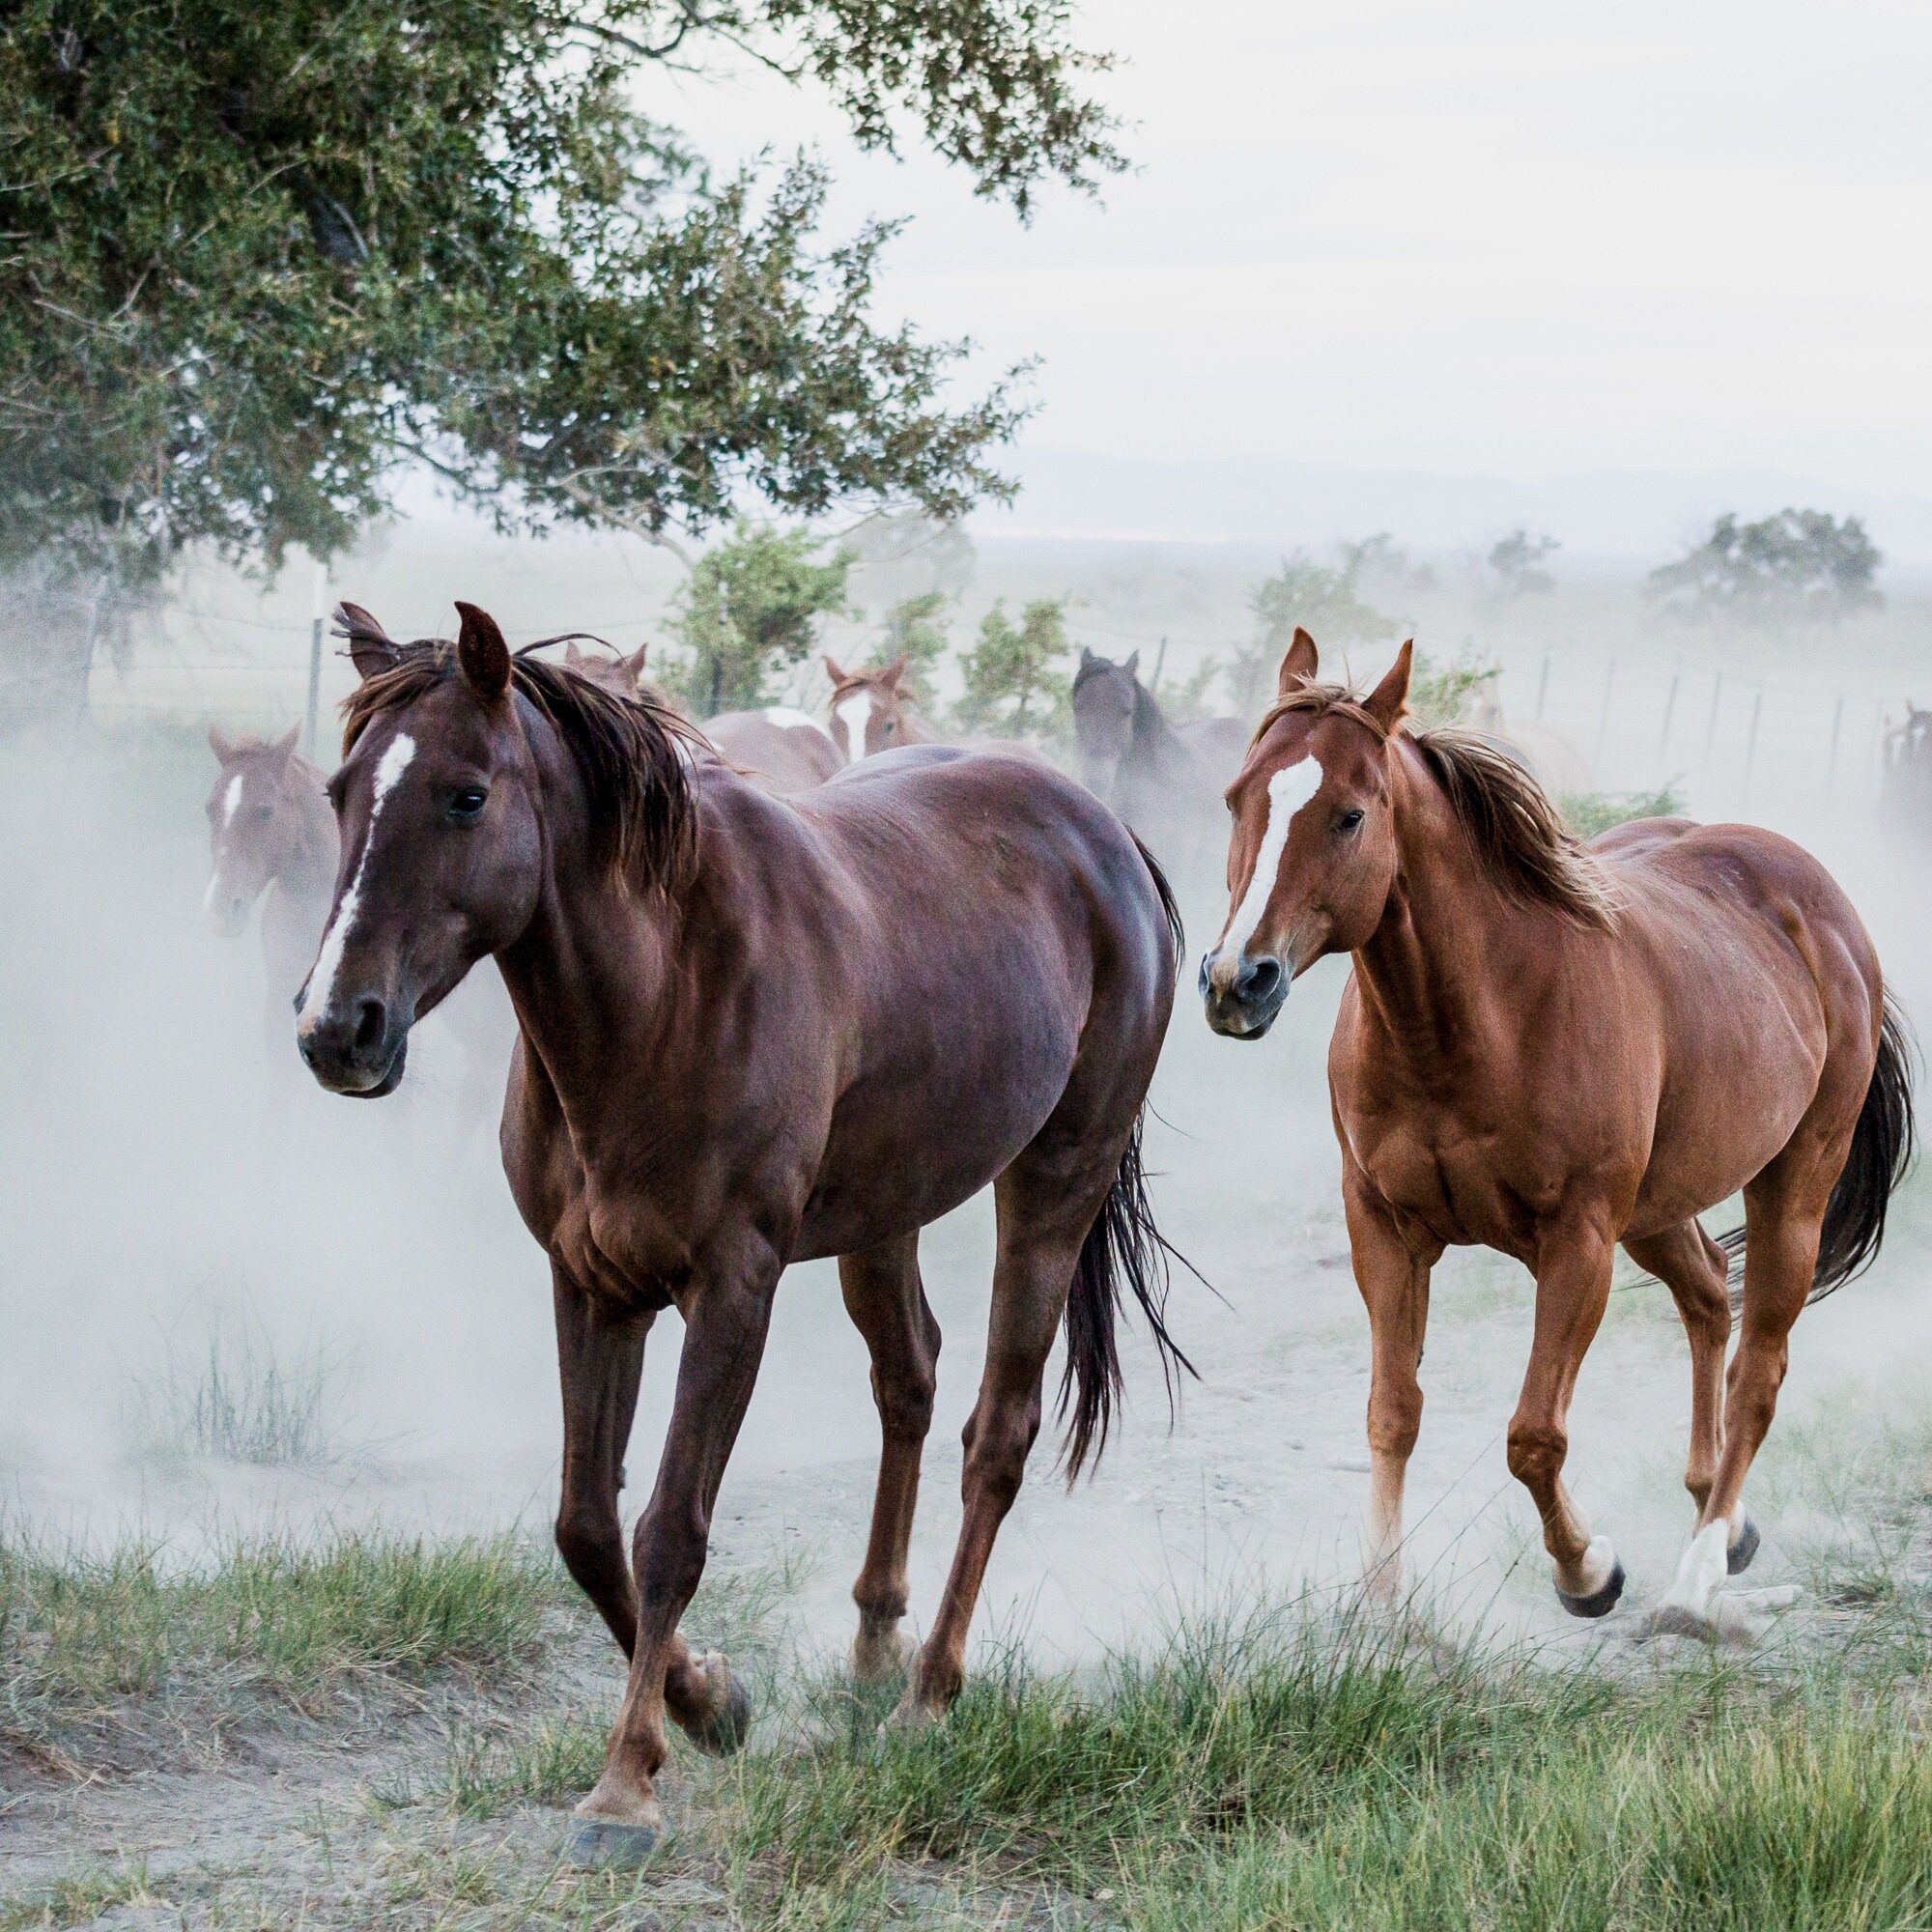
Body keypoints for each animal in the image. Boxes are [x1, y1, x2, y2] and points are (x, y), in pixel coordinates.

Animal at [297, 600, 1190, 1863]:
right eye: (339, 791)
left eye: (466, 795)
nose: (338, 1028)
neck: (665, 986)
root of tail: (1104, 830)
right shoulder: (591, 1284)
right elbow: (586, 1525)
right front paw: (710, 1699)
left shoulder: (732, 1289)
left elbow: (671, 1525)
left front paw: (624, 1782)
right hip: (885, 1213)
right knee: (909, 1382)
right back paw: (871, 1647)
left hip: (1053, 1185)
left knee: (996, 1435)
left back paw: (928, 1693)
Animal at [1200, 628, 1913, 1637]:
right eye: (1237, 798)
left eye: (1348, 816)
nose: (1237, 981)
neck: (1477, 1022)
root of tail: (1824, 908)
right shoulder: (1383, 1231)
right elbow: (1392, 1412)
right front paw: (1380, 1607)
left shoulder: (1577, 1242)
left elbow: (1534, 1437)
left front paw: (1590, 1571)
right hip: (1659, 1207)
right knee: (1709, 1296)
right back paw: (1721, 1516)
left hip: (1792, 1185)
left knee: (1759, 1368)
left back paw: (1697, 1576)